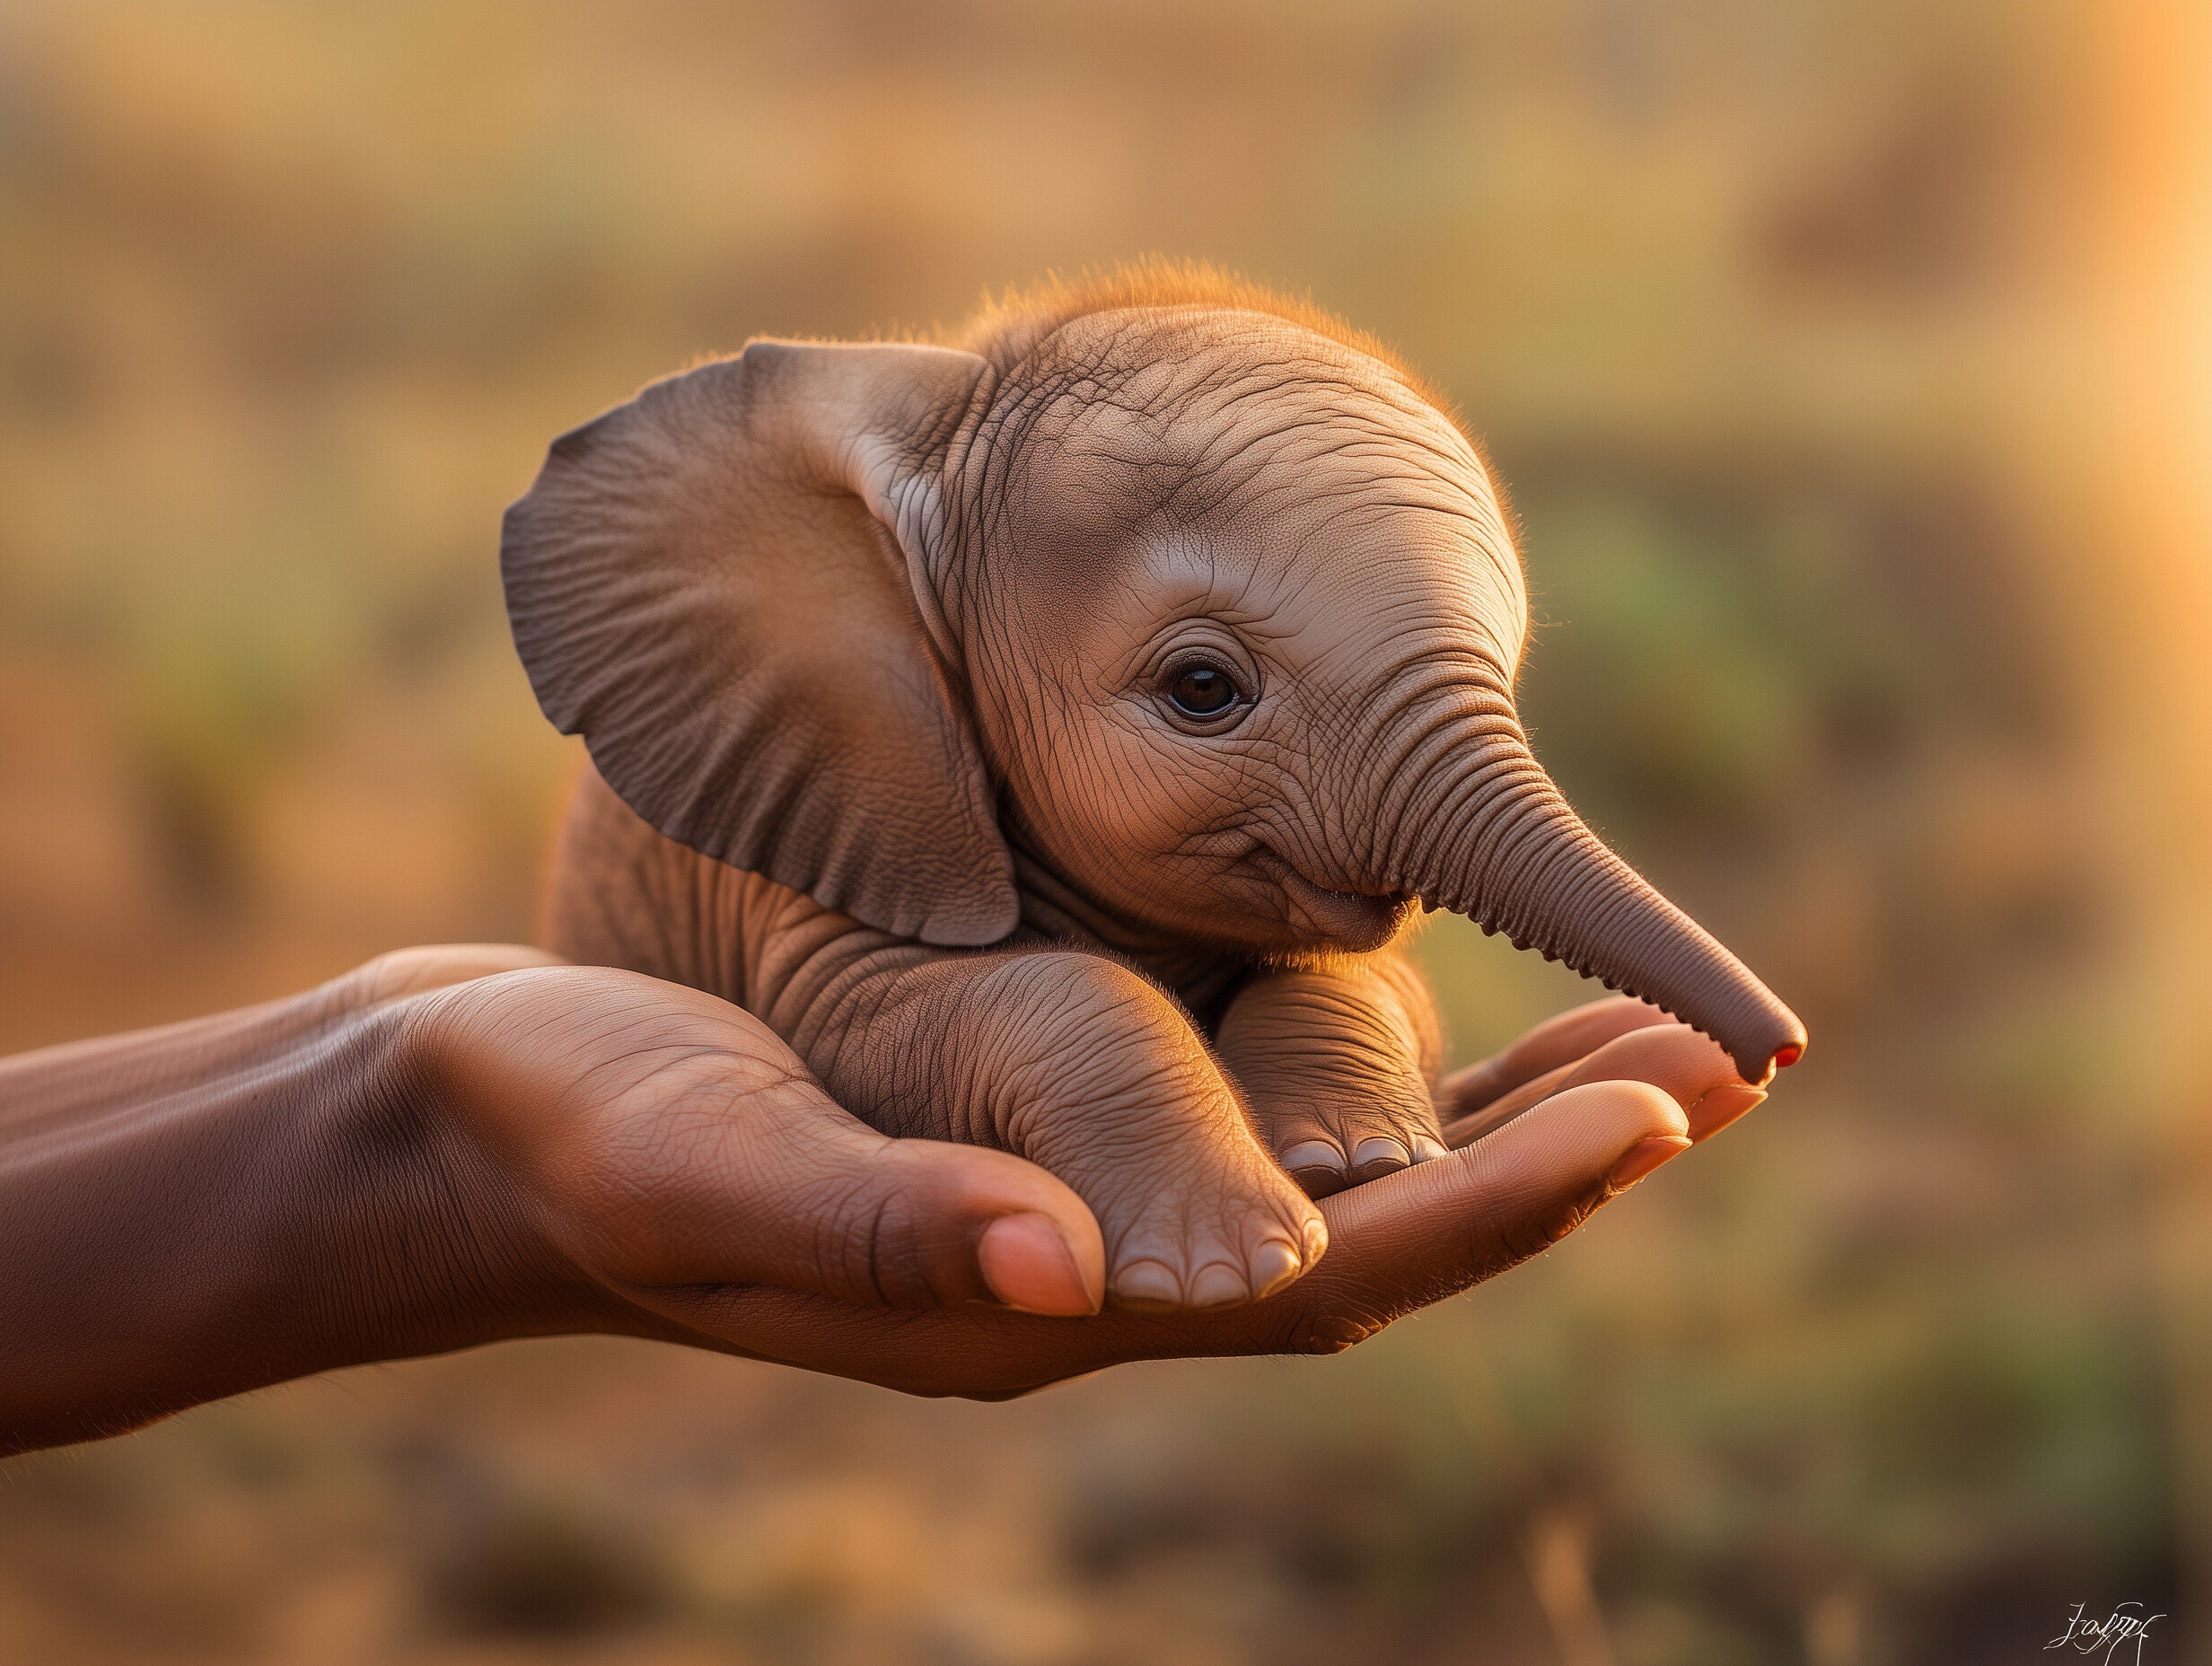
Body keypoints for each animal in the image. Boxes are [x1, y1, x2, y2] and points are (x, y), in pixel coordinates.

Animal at [500, 265, 1805, 1317]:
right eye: (1202, 689)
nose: (1780, 1052)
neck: (949, 404)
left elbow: (1372, 975)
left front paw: (1362, 1166)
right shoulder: (847, 811)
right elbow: (944, 1003)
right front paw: (1232, 1271)